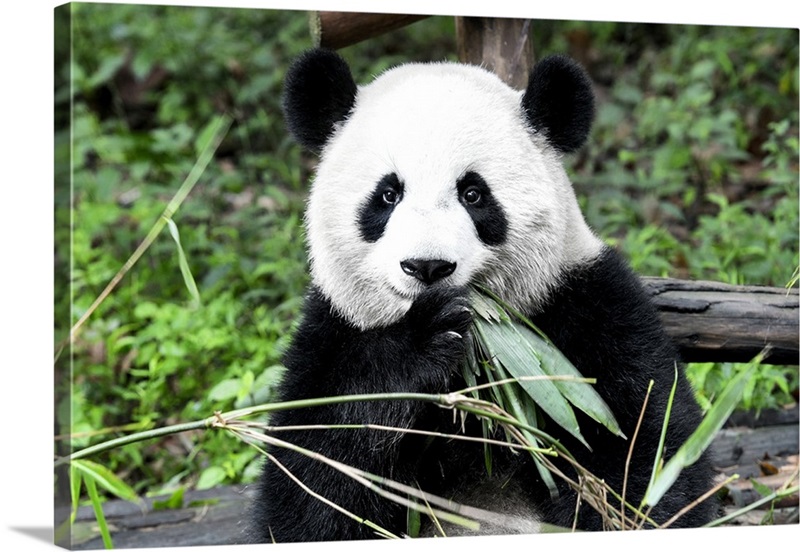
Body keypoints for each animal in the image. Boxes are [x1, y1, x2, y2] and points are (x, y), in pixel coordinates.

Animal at [247, 48, 718, 543]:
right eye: (388, 195)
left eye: (473, 194)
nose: (427, 267)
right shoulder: (334, 333)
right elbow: (312, 481)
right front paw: (420, 344)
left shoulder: (583, 311)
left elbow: (644, 448)